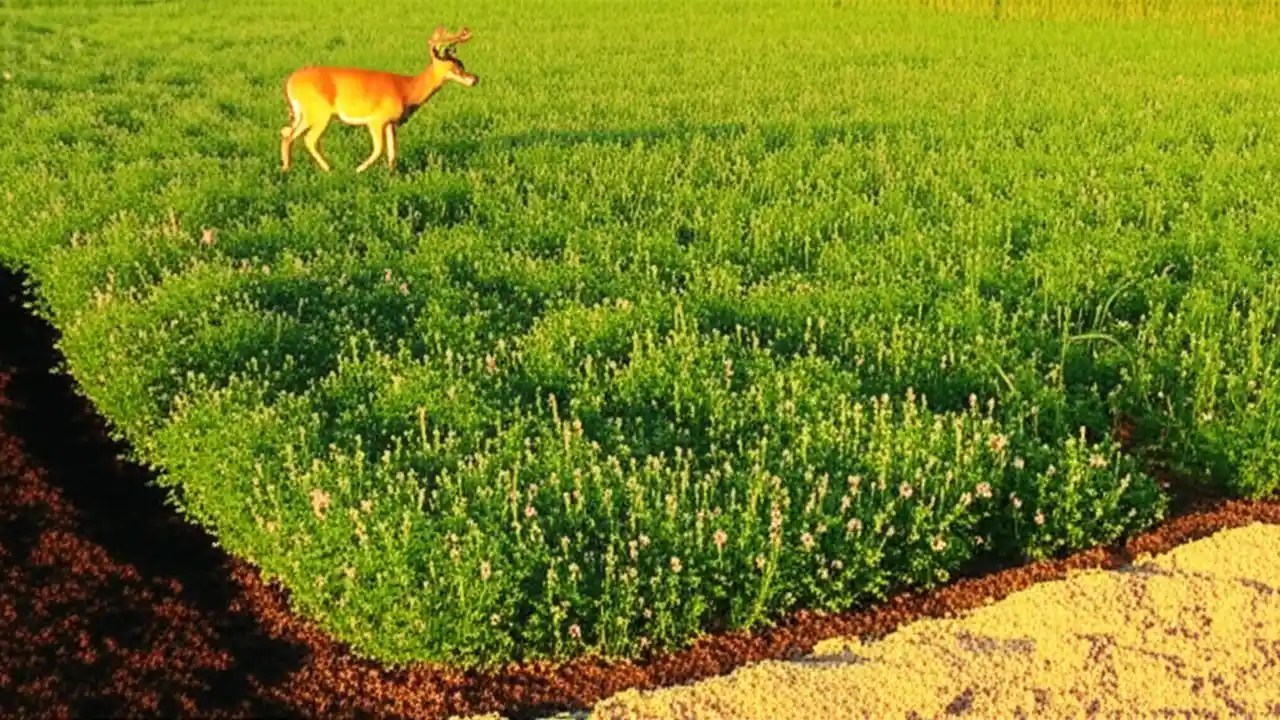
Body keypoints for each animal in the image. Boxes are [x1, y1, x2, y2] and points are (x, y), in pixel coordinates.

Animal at [280, 26, 478, 173]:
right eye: (455, 67)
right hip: (319, 113)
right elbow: (379, 148)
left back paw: (286, 168)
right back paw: (329, 169)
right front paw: (359, 170)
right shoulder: (376, 120)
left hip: (303, 113)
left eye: (462, 64)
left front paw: (391, 174)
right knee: (308, 139)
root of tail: (290, 81)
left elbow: (392, 151)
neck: (407, 90)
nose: (475, 79)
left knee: (287, 134)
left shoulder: (391, 122)